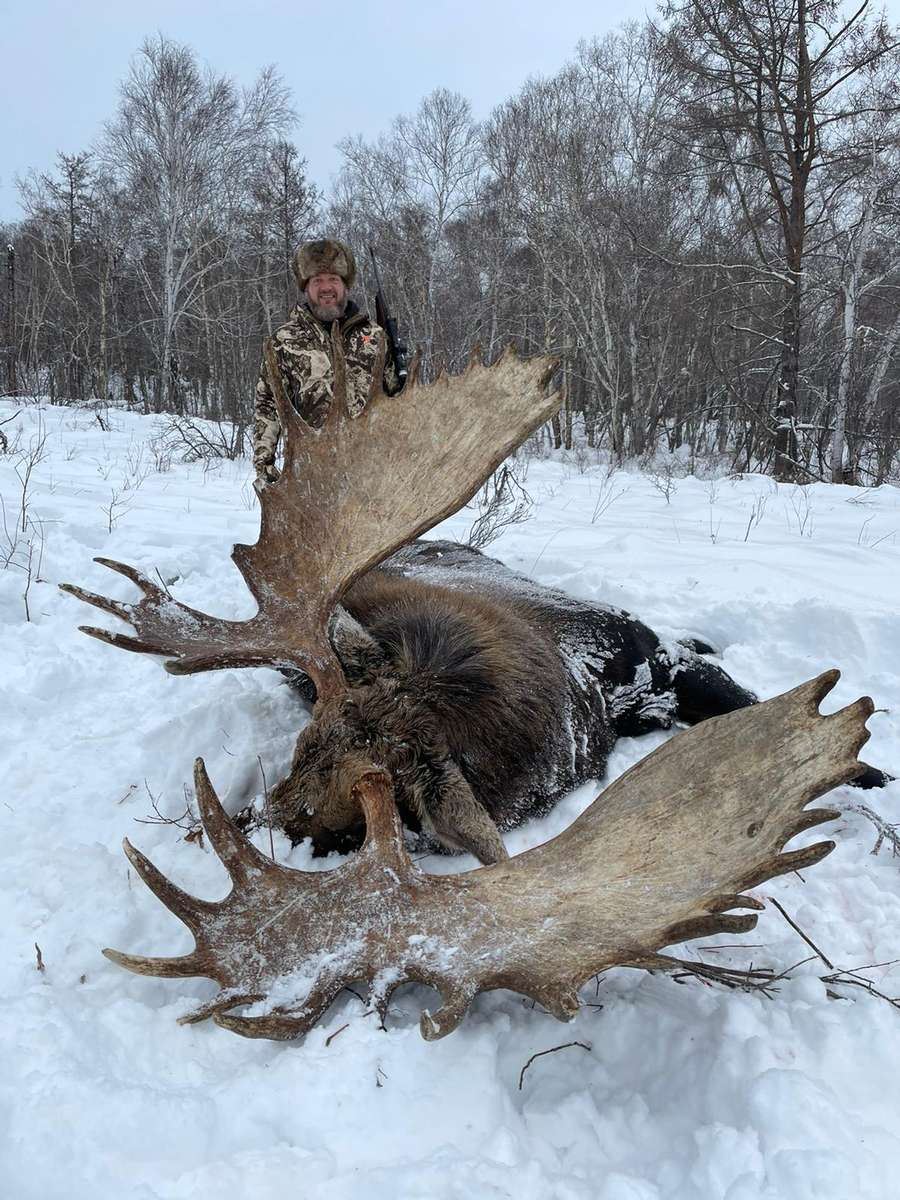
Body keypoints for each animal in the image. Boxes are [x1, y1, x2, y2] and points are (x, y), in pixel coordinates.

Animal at [61, 331, 880, 1041]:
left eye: (344, 811)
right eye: (297, 751)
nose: (236, 823)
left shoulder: (653, 653)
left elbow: (740, 694)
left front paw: (868, 766)